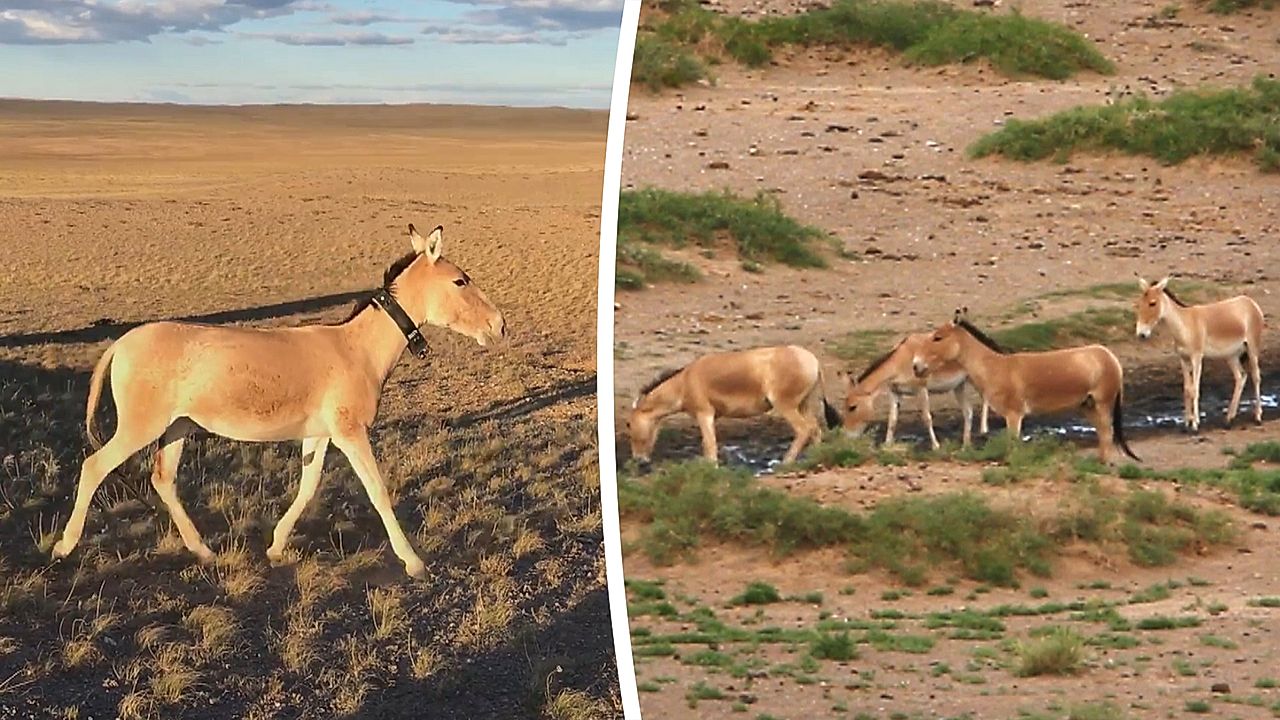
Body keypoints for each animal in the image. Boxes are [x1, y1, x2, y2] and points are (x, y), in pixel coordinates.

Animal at [52, 224, 506, 578]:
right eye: (461, 281)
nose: (500, 326)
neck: (355, 349)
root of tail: (121, 343)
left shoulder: (320, 435)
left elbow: (307, 488)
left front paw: (274, 547)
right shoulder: (350, 432)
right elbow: (377, 491)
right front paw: (413, 562)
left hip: (177, 426)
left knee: (163, 479)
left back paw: (204, 551)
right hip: (142, 425)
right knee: (95, 466)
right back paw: (64, 547)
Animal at [627, 345, 841, 466]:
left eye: (628, 425)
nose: (639, 461)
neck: (683, 383)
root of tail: (814, 361)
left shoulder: (704, 413)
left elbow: (709, 443)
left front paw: (710, 468)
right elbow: (708, 443)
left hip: (785, 405)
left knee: (804, 429)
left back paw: (785, 462)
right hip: (804, 403)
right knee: (815, 428)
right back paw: (816, 457)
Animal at [843, 332, 989, 449]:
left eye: (852, 407)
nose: (848, 436)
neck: (901, 360)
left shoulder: (921, 389)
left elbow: (927, 418)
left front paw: (936, 445)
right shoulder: (894, 392)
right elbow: (892, 419)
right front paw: (887, 444)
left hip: (975, 378)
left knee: (986, 398)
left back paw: (983, 430)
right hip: (959, 385)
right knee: (968, 410)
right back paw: (966, 444)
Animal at [911, 312, 1139, 463]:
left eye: (937, 338)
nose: (915, 365)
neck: (996, 368)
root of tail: (1109, 355)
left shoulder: (1014, 414)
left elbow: (1012, 447)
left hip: (1102, 402)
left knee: (1107, 435)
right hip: (1087, 405)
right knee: (1103, 434)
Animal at [1135, 277, 1265, 431]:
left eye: (1152, 303)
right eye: (1139, 304)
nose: (1141, 334)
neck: (1186, 325)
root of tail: (1250, 302)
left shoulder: (1196, 358)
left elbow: (1195, 389)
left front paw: (1195, 424)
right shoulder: (1183, 359)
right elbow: (1186, 390)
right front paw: (1186, 423)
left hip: (1252, 347)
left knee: (1256, 377)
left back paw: (1258, 417)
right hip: (1231, 355)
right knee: (1241, 377)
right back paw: (1229, 419)